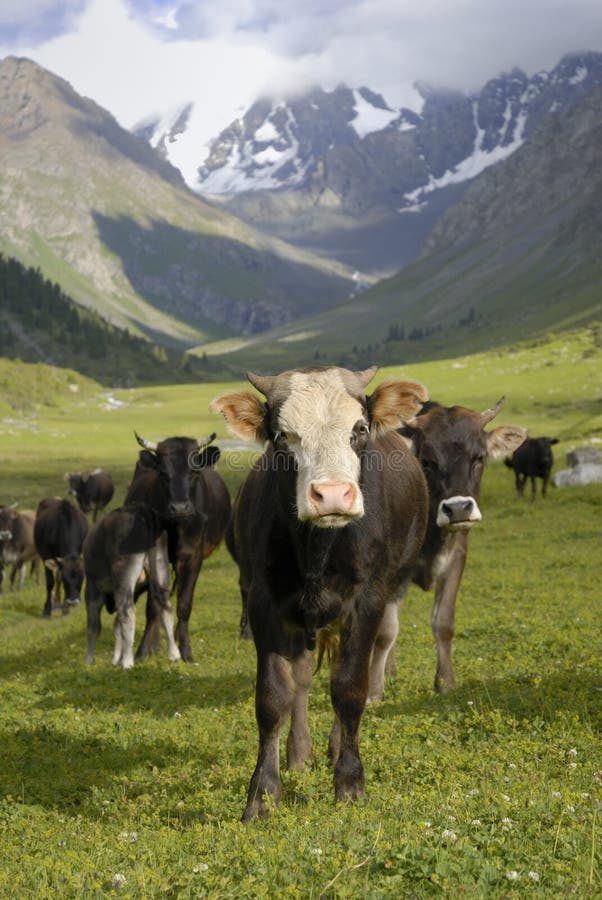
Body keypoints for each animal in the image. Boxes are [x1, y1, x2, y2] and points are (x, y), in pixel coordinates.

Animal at [83, 503, 165, 668]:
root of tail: (141, 510)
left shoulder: (92, 590)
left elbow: (93, 627)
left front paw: (88, 662)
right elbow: (116, 626)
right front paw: (115, 659)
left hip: (123, 577)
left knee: (127, 614)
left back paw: (127, 663)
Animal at [124, 432, 231, 663]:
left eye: (194, 471)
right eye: (163, 473)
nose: (180, 507)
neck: (177, 526)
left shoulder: (193, 558)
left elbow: (184, 604)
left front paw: (186, 651)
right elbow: (153, 606)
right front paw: (144, 650)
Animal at [210, 365, 429, 821]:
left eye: (359, 429)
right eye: (282, 436)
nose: (331, 496)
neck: (318, 549)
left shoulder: (367, 602)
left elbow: (349, 687)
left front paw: (349, 783)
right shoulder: (264, 603)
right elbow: (274, 696)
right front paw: (263, 793)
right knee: (301, 681)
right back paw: (299, 753)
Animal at [368, 398, 527, 700]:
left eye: (479, 457)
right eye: (427, 461)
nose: (458, 509)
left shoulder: (456, 559)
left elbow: (443, 622)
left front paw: (445, 682)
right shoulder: (392, 569)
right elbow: (384, 631)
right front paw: (373, 692)